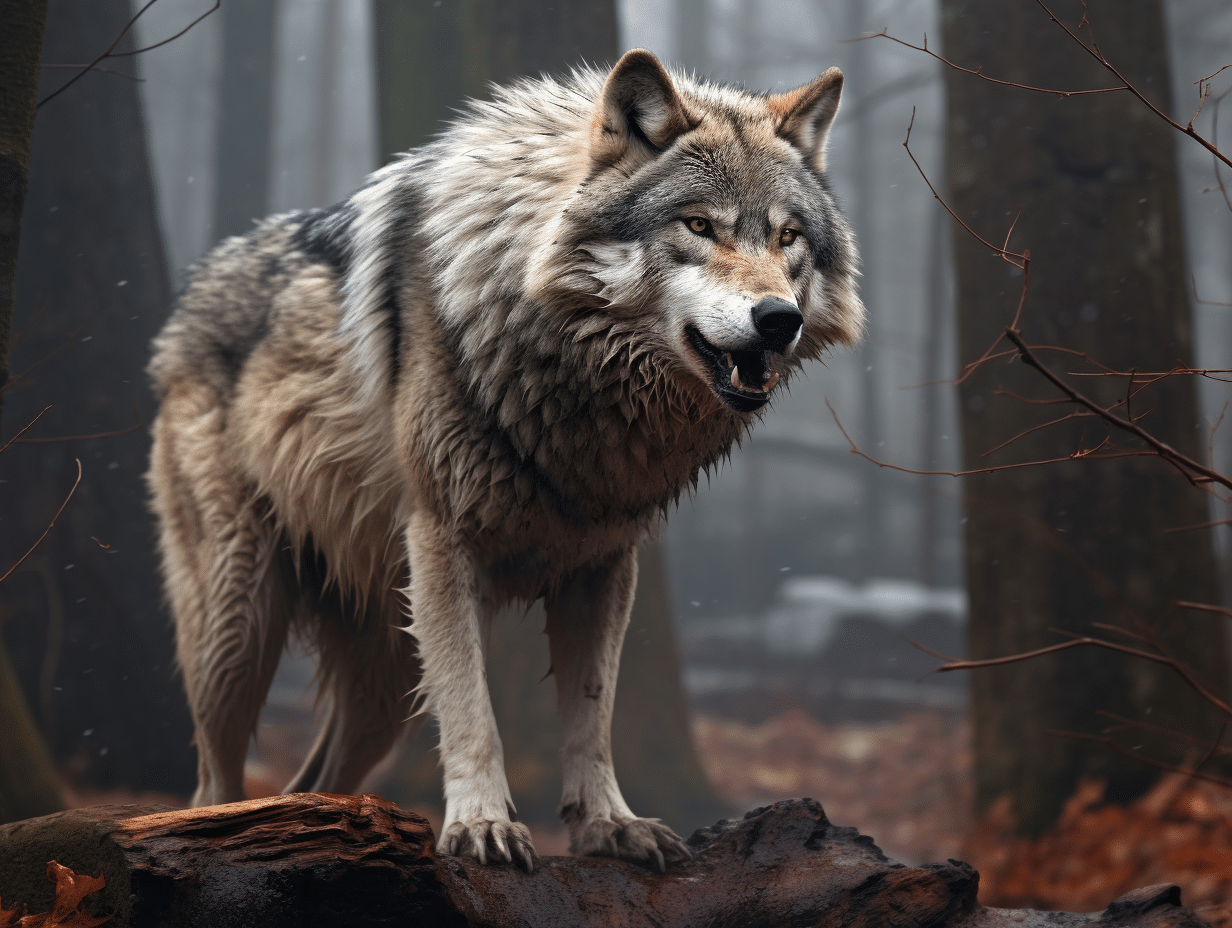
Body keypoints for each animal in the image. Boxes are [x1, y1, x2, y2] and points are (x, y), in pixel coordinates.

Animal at [147, 49, 863, 871]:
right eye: (697, 225)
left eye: (788, 237)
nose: (779, 320)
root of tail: (188, 296)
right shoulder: (441, 543)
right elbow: (472, 713)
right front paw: (481, 825)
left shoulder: (604, 566)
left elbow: (592, 716)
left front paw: (607, 824)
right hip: (238, 632)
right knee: (211, 785)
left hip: (385, 680)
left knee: (308, 781)